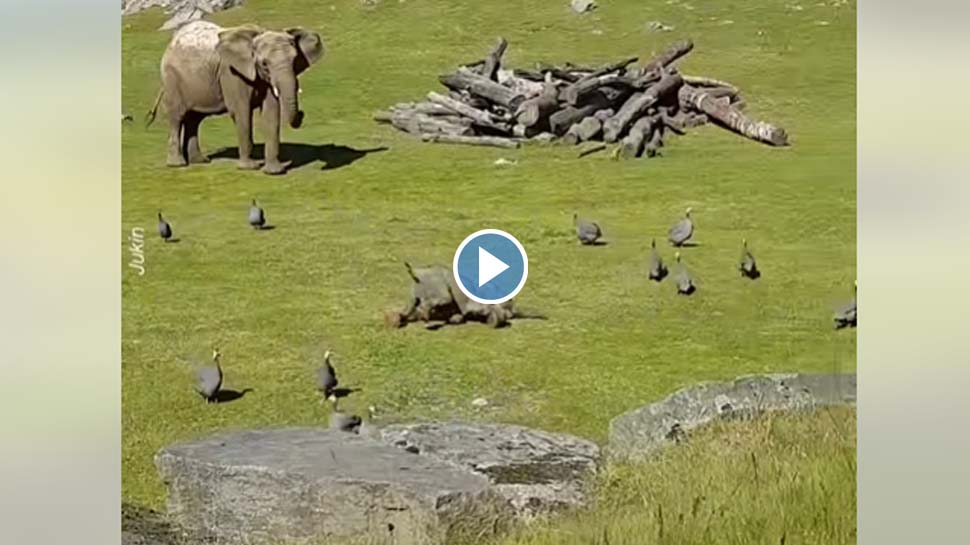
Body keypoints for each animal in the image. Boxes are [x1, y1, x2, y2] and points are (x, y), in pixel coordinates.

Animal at [146, 20, 324, 175]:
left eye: (295, 61)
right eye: (264, 64)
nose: (302, 114)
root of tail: (170, 44)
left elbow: (271, 113)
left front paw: (274, 172)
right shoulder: (231, 72)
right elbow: (241, 111)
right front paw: (249, 168)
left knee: (194, 119)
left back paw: (200, 161)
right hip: (172, 79)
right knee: (177, 118)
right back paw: (177, 164)